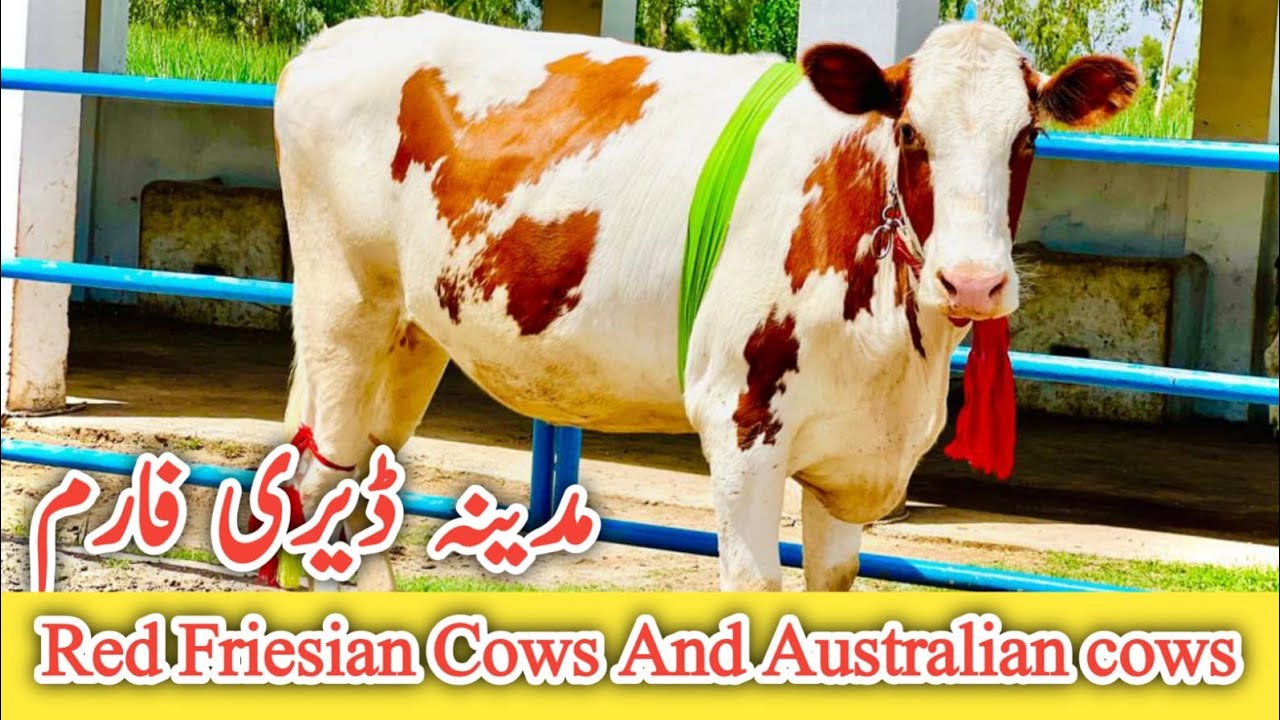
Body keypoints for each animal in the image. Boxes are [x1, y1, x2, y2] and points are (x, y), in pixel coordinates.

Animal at [274, 12, 1136, 591]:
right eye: (911, 134)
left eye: (1029, 137)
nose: (974, 281)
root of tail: (335, 41)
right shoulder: (742, 423)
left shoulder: (851, 457)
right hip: (344, 311)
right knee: (320, 480)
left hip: (412, 337)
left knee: (360, 487)